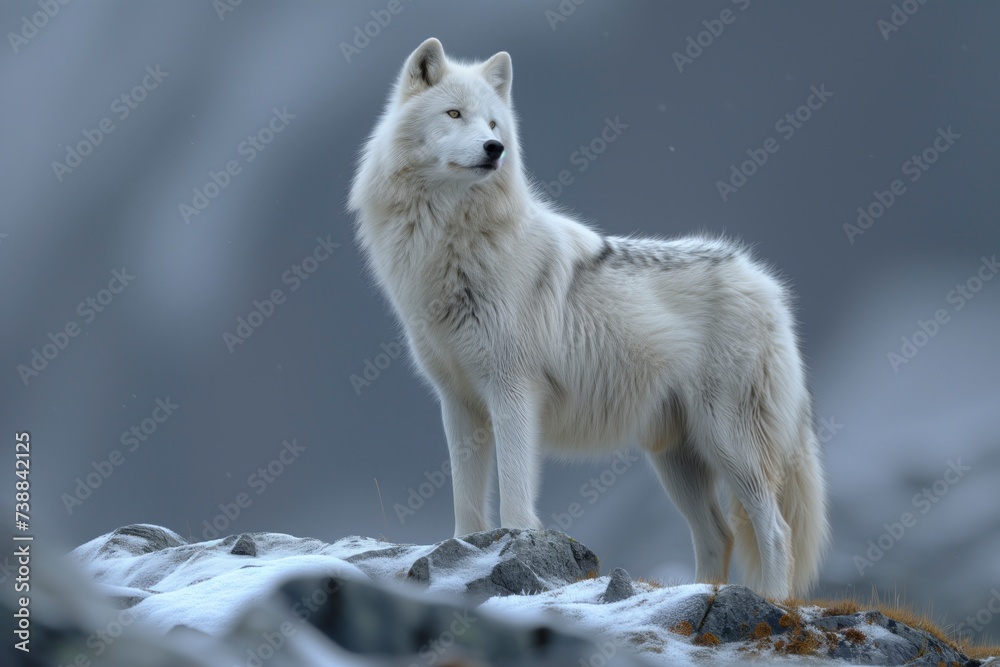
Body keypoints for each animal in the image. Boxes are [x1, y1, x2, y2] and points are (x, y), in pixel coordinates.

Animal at [349, 38, 830, 599]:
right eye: (454, 114)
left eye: (493, 124)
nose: (495, 149)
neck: (450, 245)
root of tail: (767, 285)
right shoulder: (458, 402)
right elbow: (466, 505)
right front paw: (461, 553)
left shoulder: (513, 392)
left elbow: (514, 496)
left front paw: (518, 549)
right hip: (677, 458)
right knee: (720, 535)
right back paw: (701, 594)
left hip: (729, 444)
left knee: (774, 529)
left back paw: (774, 602)